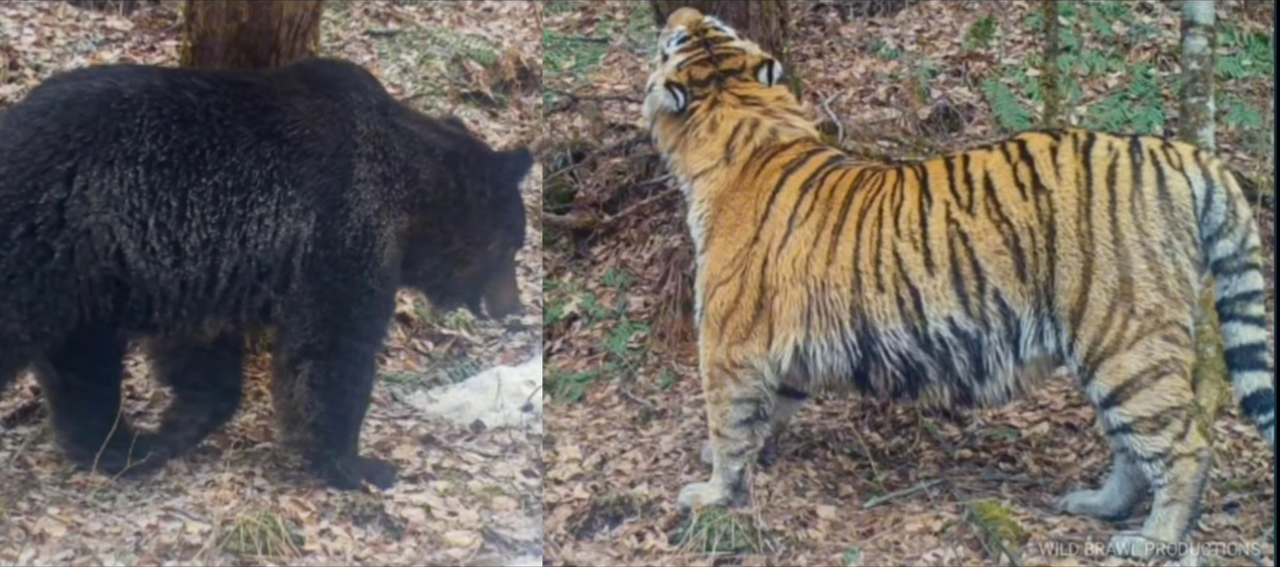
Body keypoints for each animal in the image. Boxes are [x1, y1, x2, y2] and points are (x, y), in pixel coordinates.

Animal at [0, 57, 533, 490]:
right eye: (512, 246)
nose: (513, 307)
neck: (411, 199)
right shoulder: (342, 228)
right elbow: (332, 351)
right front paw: (358, 464)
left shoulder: (194, 263)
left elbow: (201, 356)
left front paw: (173, 428)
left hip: (82, 275)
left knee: (82, 361)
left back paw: (119, 446)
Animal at [643, 7, 1275, 561]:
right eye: (701, 29)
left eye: (684, 37)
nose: (677, 13)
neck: (742, 116)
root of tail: (1182, 153)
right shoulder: (784, 349)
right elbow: (767, 411)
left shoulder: (729, 343)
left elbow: (729, 420)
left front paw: (712, 492)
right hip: (1110, 349)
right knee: (1132, 446)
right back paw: (1097, 504)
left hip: (1126, 338)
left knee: (1186, 448)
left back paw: (1150, 542)